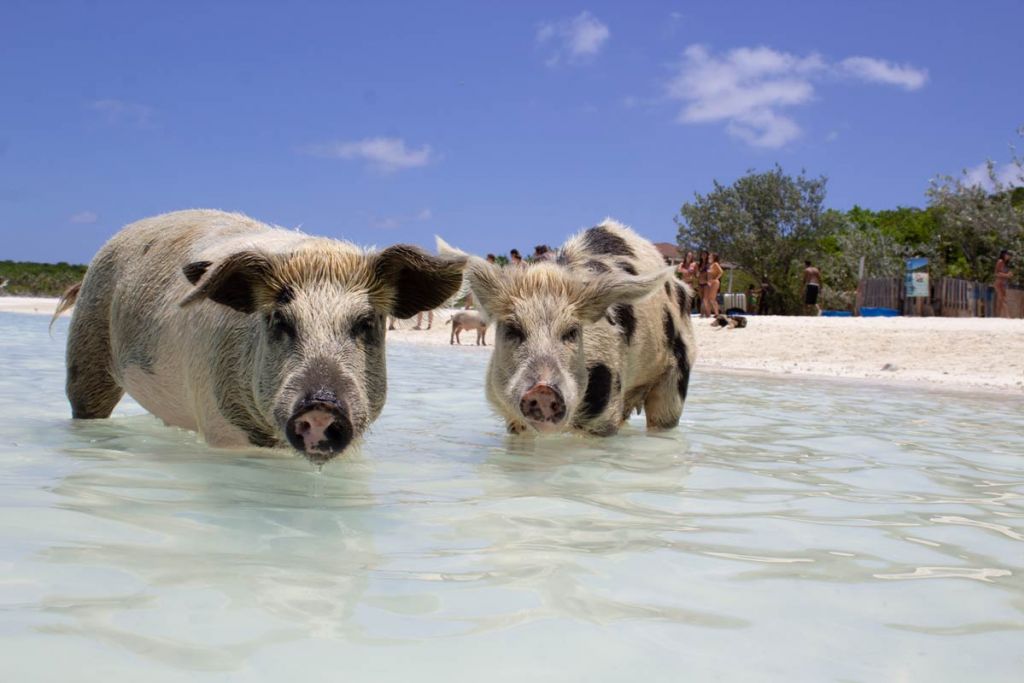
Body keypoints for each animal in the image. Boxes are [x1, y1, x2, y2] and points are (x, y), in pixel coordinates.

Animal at [438, 220, 696, 436]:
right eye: (513, 329)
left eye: (572, 332)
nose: (543, 389)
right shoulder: (512, 420)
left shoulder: (605, 409)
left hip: (676, 375)